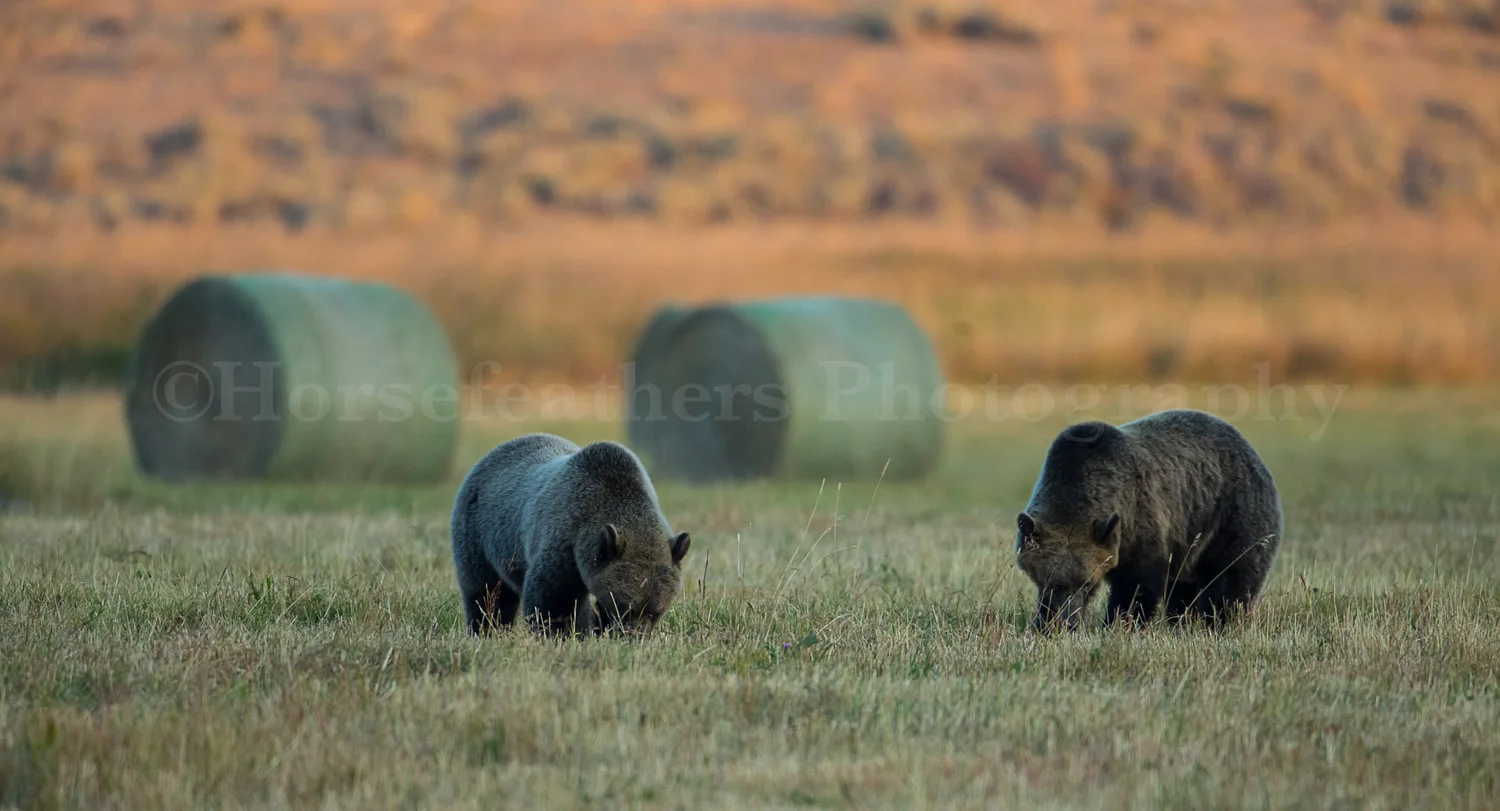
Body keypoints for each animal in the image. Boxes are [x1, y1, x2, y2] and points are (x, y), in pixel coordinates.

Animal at [449, 432, 691, 638]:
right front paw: (565, 634)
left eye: (656, 611)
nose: (635, 636)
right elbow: (554, 601)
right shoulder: (564, 545)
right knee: (488, 595)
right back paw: (487, 630)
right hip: (481, 539)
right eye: (624, 606)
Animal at [1014, 408, 1282, 632]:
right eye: (1053, 582)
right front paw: (1042, 624)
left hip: (1231, 515)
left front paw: (1119, 624)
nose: (1067, 622)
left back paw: (1218, 622)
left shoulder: (1139, 521)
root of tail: (1253, 452)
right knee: (1184, 588)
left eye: (1087, 583)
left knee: (1231, 578)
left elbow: (1137, 585)